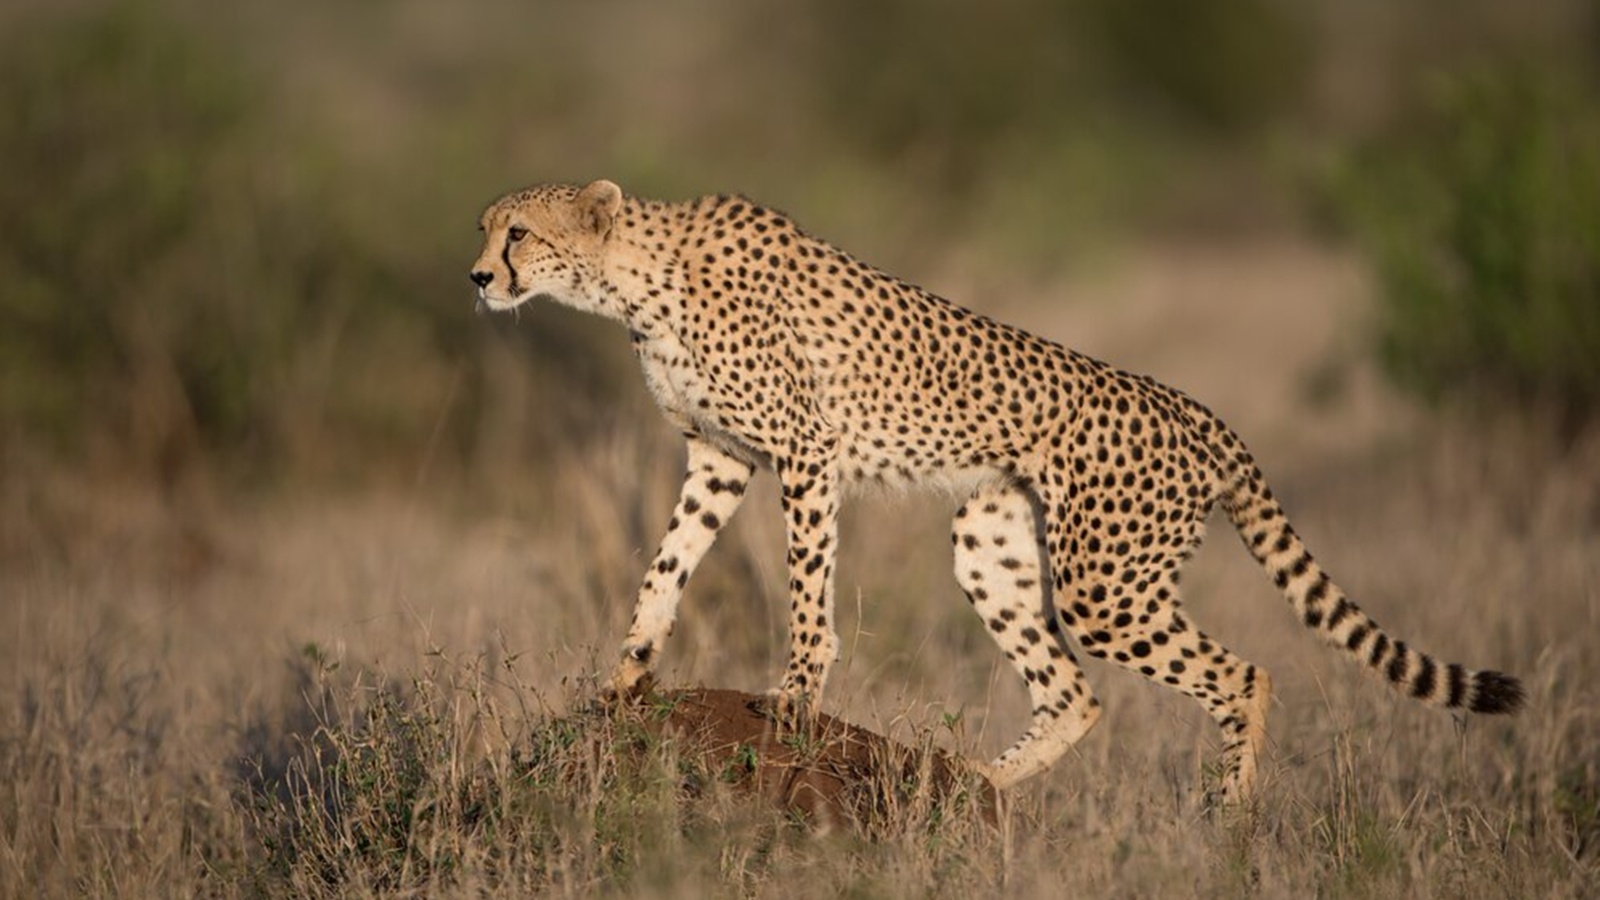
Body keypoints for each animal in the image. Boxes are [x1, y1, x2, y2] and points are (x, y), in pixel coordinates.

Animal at [469, 179, 1524, 803]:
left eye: (519, 231)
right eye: (484, 228)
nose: (478, 277)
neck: (638, 282)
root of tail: (1199, 410)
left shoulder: (805, 454)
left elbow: (807, 585)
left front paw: (797, 698)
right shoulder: (718, 458)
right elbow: (667, 565)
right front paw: (626, 675)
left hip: (1105, 583)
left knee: (1244, 674)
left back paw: (1226, 823)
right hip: (992, 544)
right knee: (1077, 693)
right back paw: (980, 784)